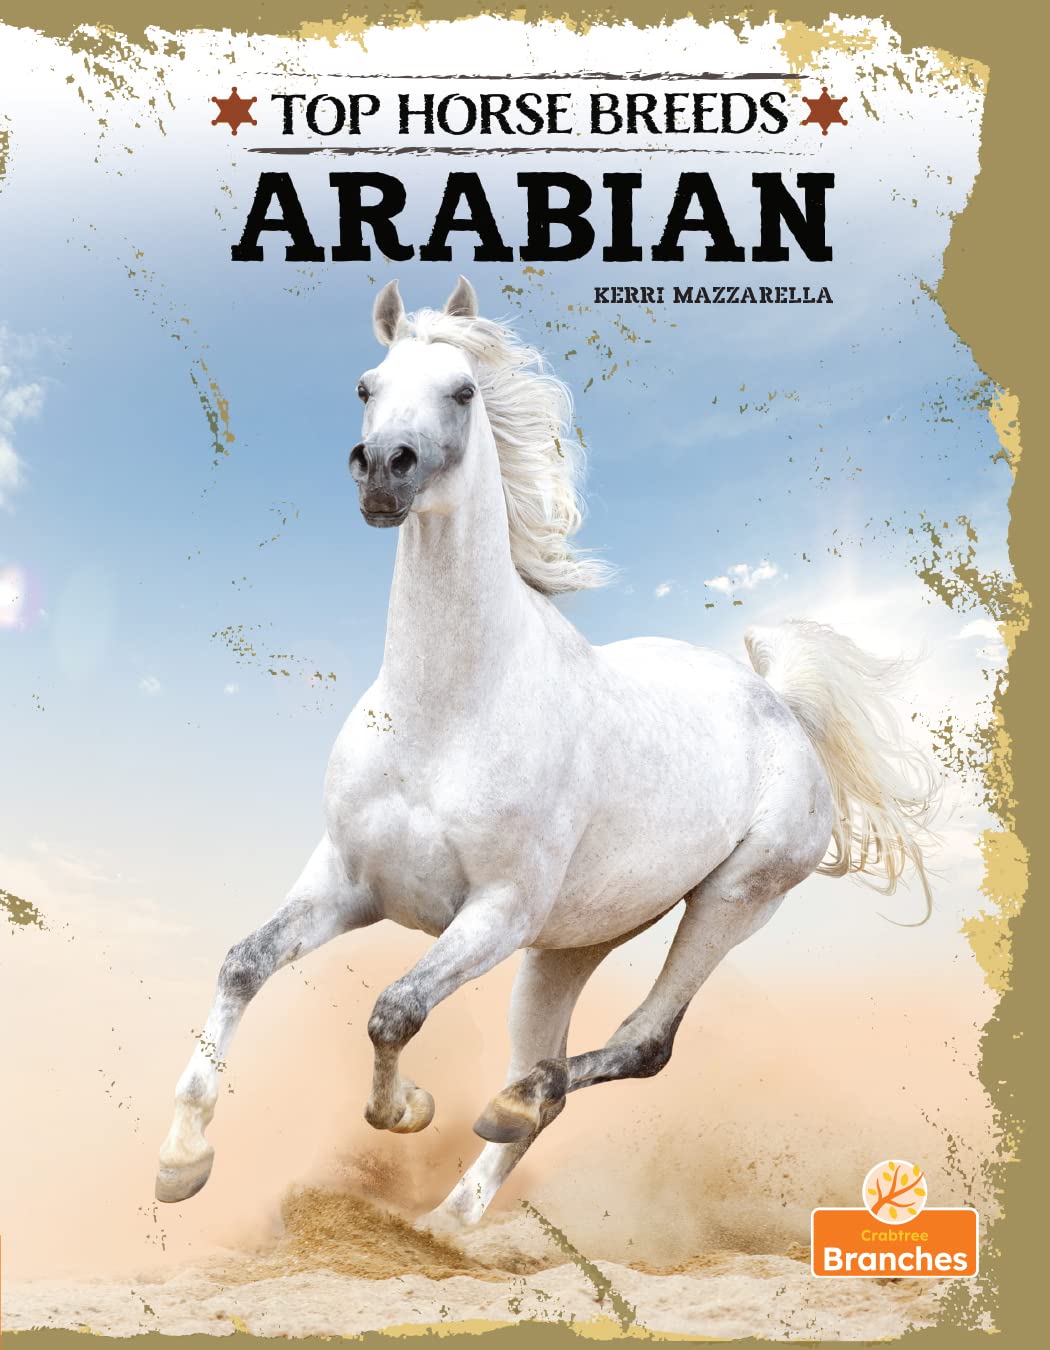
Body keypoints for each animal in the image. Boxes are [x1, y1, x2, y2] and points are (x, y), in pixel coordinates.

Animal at [156, 276, 936, 1225]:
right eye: (367, 385)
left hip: (728, 903)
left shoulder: (495, 911)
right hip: (566, 948)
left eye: (463, 390)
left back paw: (506, 1115)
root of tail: (782, 709)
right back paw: (452, 1221)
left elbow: (394, 1010)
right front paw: (183, 1159)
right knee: (548, 1074)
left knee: (635, 1048)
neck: (446, 714)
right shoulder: (348, 880)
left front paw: (405, 1109)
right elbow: (243, 964)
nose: (383, 471)